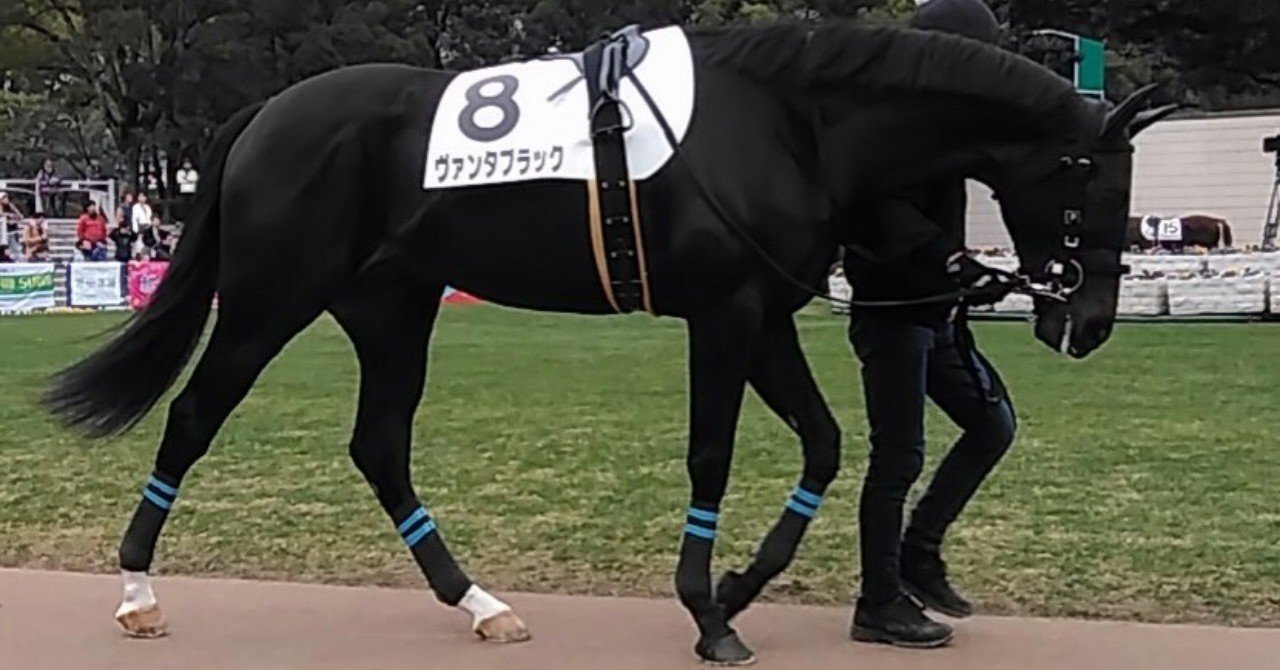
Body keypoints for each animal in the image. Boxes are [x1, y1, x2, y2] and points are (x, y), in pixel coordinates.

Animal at [44, 23, 1172, 665]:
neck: (787, 120)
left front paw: (738, 584)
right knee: (196, 413)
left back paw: (479, 602)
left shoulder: (764, 314)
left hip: (393, 310)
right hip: (269, 302)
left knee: (379, 445)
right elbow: (714, 453)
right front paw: (708, 612)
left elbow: (823, 445)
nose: (1087, 321)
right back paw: (137, 592)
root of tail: (263, 117)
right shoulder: (723, 313)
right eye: (1086, 179)